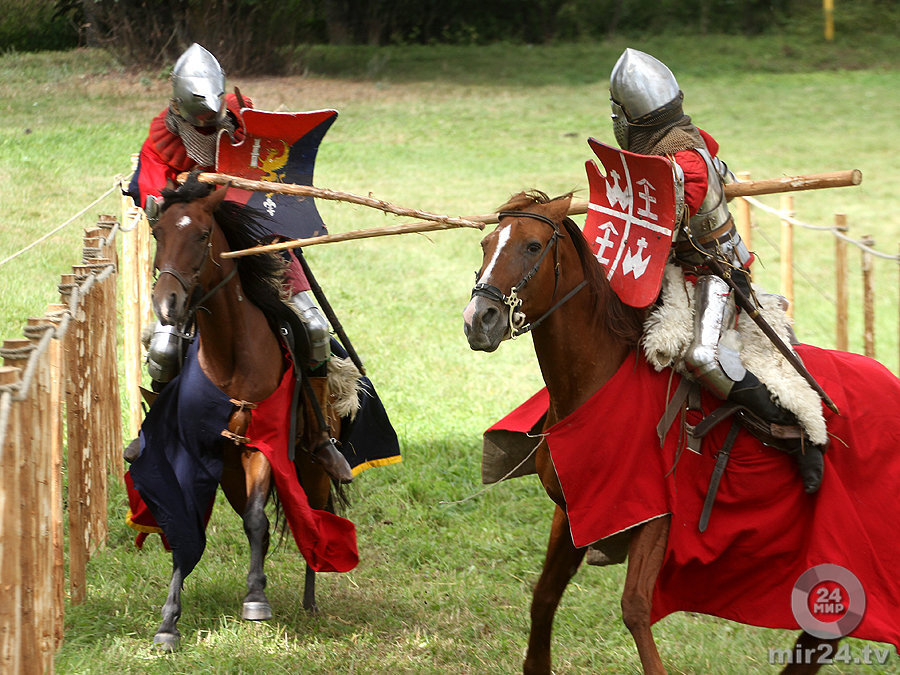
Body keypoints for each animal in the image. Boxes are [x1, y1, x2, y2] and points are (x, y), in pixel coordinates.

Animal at [139, 173, 346, 648]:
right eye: (159, 234)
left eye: (201, 235)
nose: (167, 304)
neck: (230, 356)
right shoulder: (192, 453)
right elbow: (186, 522)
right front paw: (168, 622)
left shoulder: (261, 447)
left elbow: (256, 520)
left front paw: (255, 599)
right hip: (230, 473)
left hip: (308, 467)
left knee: (315, 515)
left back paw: (310, 599)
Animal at [464, 191, 900, 675]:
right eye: (486, 244)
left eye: (533, 246)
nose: (479, 320)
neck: (596, 382)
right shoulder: (575, 509)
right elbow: (544, 596)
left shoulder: (655, 517)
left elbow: (635, 607)